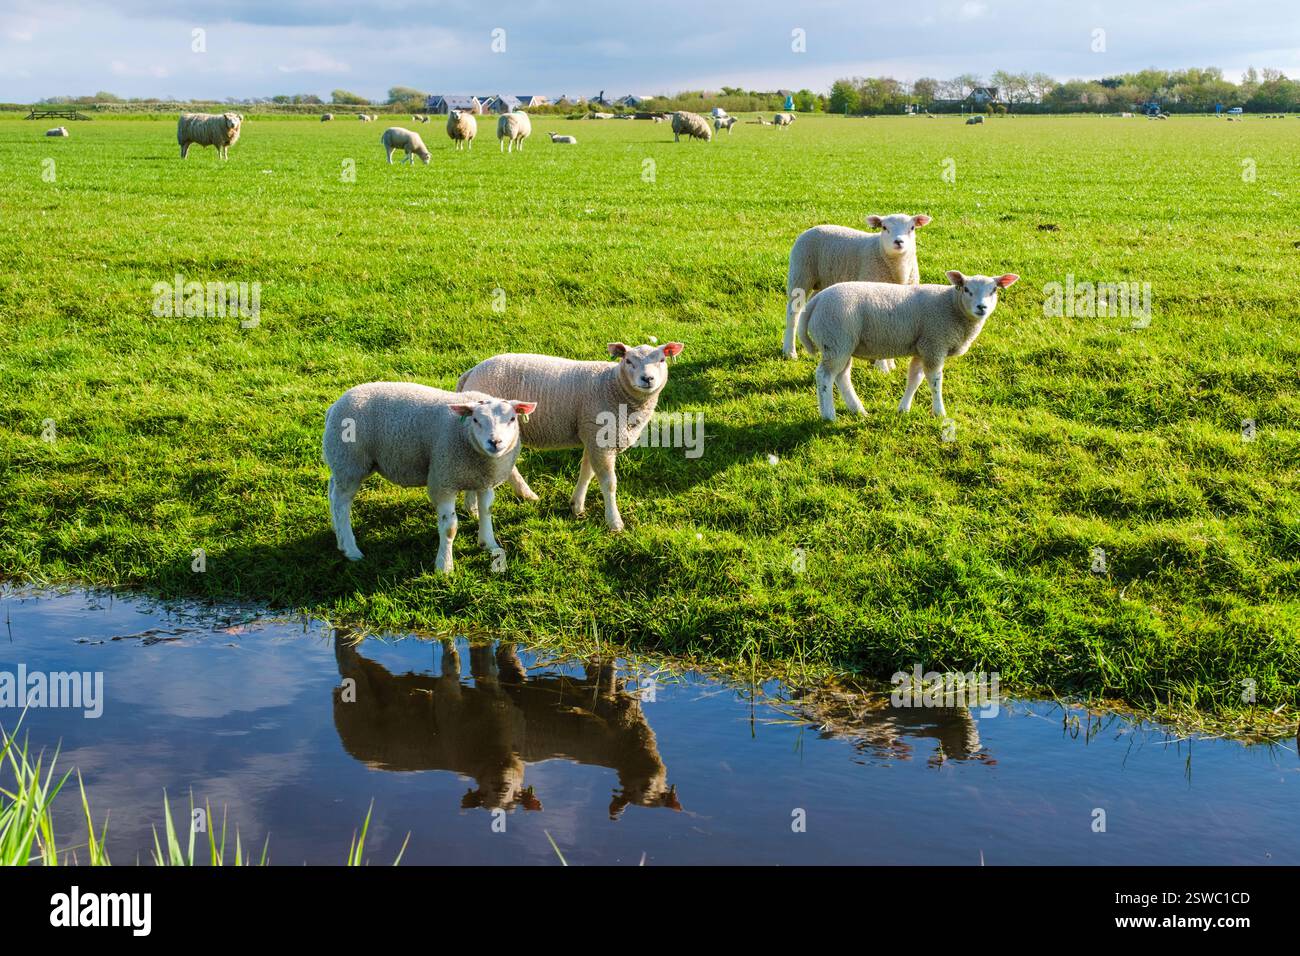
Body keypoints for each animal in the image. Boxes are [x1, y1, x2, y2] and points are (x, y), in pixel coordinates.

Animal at [322, 383, 537, 572]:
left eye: (512, 419)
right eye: (476, 420)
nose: (495, 442)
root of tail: (334, 407)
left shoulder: (483, 481)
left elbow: (486, 511)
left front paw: (488, 543)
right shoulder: (442, 481)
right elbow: (449, 528)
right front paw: (444, 567)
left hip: (345, 464)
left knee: (333, 491)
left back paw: (337, 532)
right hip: (350, 461)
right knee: (341, 504)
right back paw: (350, 549)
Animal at [457, 342, 684, 532]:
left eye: (662, 360)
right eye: (628, 361)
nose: (648, 379)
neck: (613, 387)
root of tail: (470, 373)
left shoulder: (593, 435)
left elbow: (587, 473)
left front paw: (577, 505)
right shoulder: (599, 436)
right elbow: (608, 482)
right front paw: (614, 522)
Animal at [784, 213, 932, 364]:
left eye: (912, 228)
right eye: (884, 227)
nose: (898, 242)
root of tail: (813, 228)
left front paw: (890, 362)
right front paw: (881, 364)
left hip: (823, 282)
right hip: (800, 274)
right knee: (793, 313)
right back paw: (790, 351)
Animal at [797, 271, 1018, 420]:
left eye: (993, 290)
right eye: (967, 289)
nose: (982, 307)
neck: (952, 305)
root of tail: (817, 300)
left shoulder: (923, 347)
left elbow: (915, 379)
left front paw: (903, 409)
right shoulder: (934, 344)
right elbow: (935, 381)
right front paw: (939, 412)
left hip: (843, 343)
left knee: (842, 376)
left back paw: (858, 410)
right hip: (835, 340)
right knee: (825, 376)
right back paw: (829, 416)